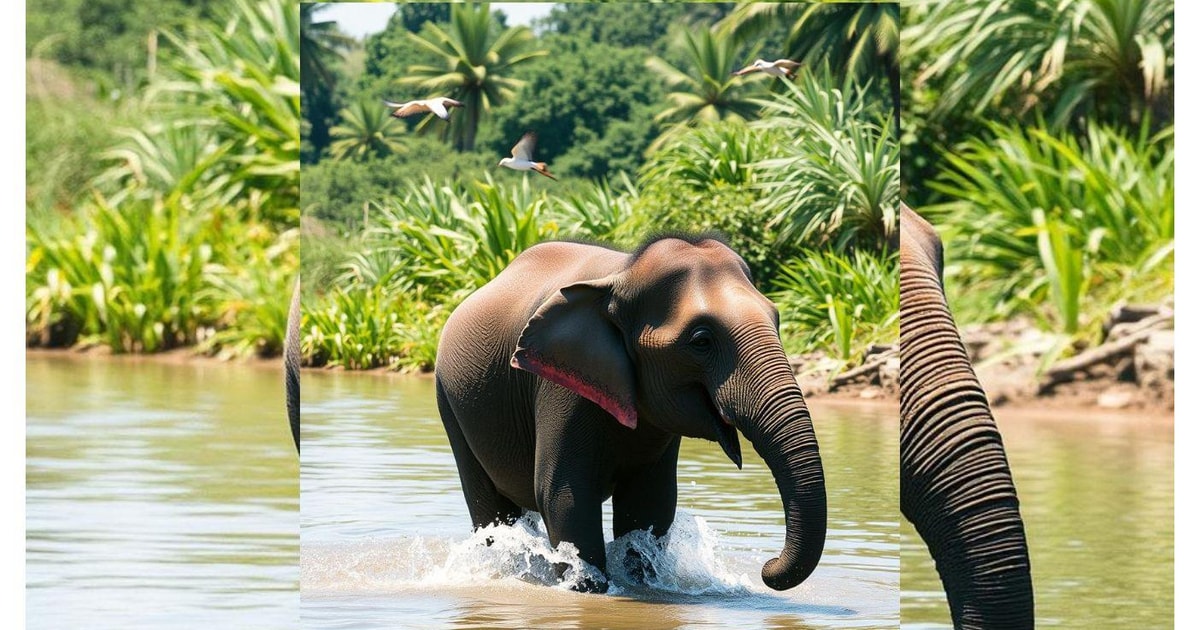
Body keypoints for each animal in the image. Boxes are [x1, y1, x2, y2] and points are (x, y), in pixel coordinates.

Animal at [434, 234, 827, 592]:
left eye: (777, 321)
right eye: (701, 341)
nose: (766, 568)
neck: (622, 275)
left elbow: (650, 500)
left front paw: (640, 585)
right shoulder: (560, 387)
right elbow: (563, 495)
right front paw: (589, 589)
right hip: (449, 398)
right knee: (492, 509)